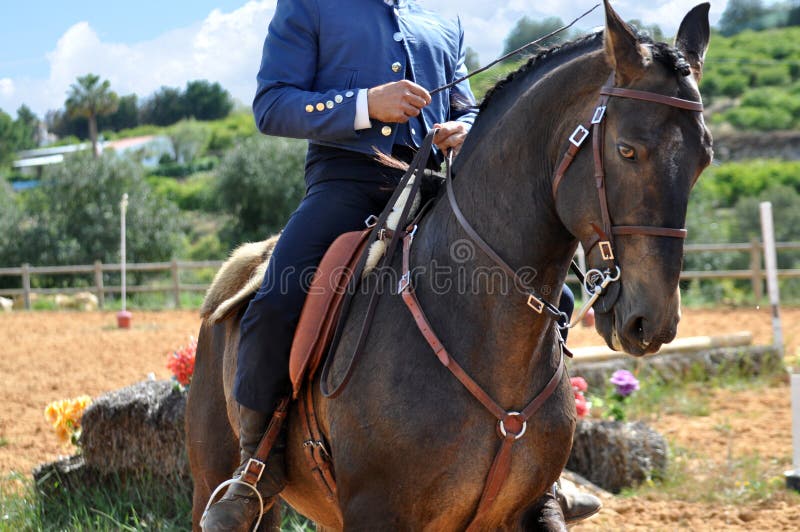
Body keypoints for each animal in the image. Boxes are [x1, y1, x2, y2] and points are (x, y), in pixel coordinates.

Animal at [186, 1, 712, 529]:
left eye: (704, 159)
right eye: (627, 150)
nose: (653, 320)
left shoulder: (528, 510)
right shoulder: (377, 512)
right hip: (215, 476)